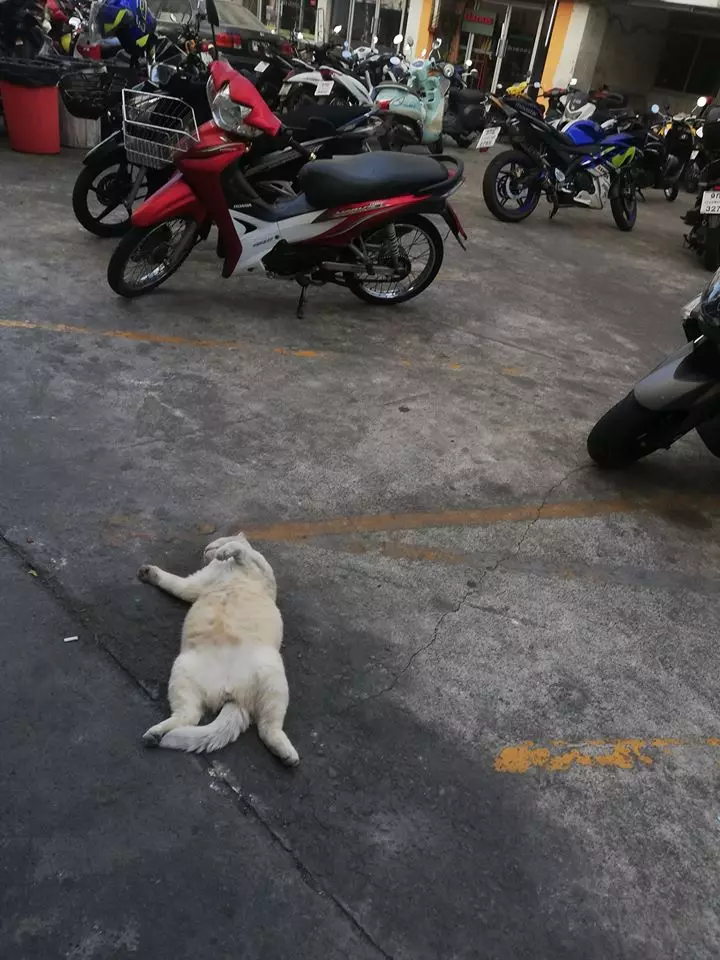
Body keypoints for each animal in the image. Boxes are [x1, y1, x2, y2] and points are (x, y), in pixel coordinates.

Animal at [138, 532, 298, 764]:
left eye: (214, 542)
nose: (206, 550)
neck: (227, 567)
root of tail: (231, 696)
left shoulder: (262, 570)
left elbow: (242, 551)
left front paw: (227, 551)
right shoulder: (193, 584)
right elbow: (174, 583)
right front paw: (149, 573)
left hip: (274, 678)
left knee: (269, 727)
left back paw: (287, 754)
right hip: (183, 671)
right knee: (189, 716)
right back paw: (155, 734)